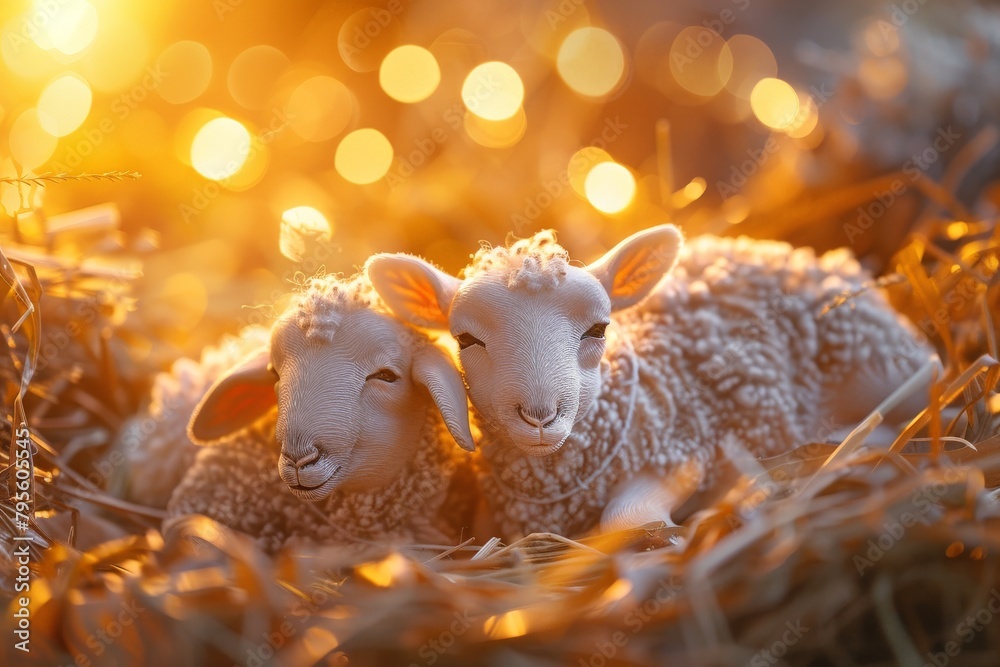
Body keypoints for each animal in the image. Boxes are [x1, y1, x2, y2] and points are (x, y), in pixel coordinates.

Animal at [366, 225, 936, 538]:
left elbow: (628, 520)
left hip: (883, 366)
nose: (540, 415)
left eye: (598, 329)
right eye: (466, 340)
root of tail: (809, 257)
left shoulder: (681, 446)